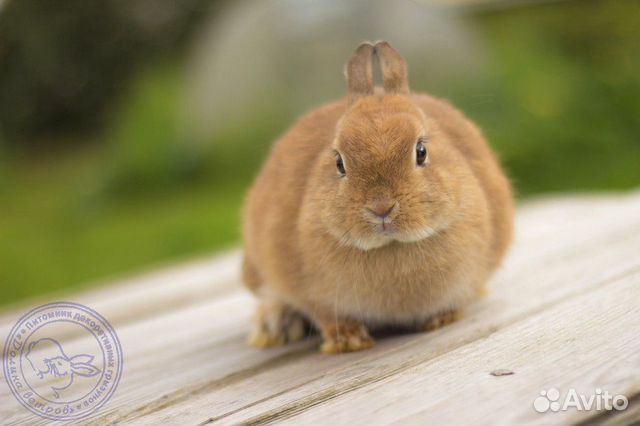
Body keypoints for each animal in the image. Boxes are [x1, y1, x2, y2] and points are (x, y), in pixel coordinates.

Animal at [242, 41, 514, 353]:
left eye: (421, 151)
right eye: (339, 162)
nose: (381, 207)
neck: (391, 247)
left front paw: (439, 319)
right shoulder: (309, 291)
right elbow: (322, 313)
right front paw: (348, 341)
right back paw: (274, 326)